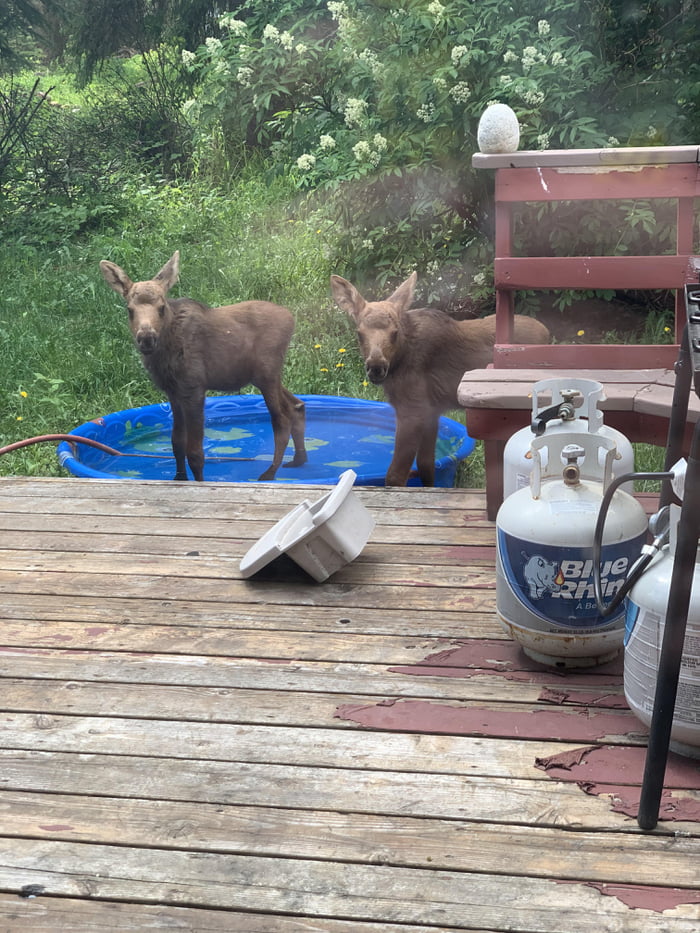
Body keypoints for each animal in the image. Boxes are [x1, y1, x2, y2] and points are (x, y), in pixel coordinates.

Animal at [100, 251, 307, 482]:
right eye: (130, 310)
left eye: (161, 308)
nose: (146, 338)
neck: (164, 357)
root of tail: (291, 319)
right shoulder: (173, 392)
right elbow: (176, 443)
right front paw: (179, 478)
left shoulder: (195, 388)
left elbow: (195, 453)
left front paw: (198, 482)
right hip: (265, 375)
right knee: (297, 405)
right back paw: (299, 459)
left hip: (267, 373)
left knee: (281, 419)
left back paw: (269, 473)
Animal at [331, 271, 550, 487]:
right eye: (359, 333)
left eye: (394, 333)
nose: (376, 367)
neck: (399, 362)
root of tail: (547, 332)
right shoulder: (431, 411)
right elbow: (426, 465)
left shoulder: (413, 410)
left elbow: (394, 476)